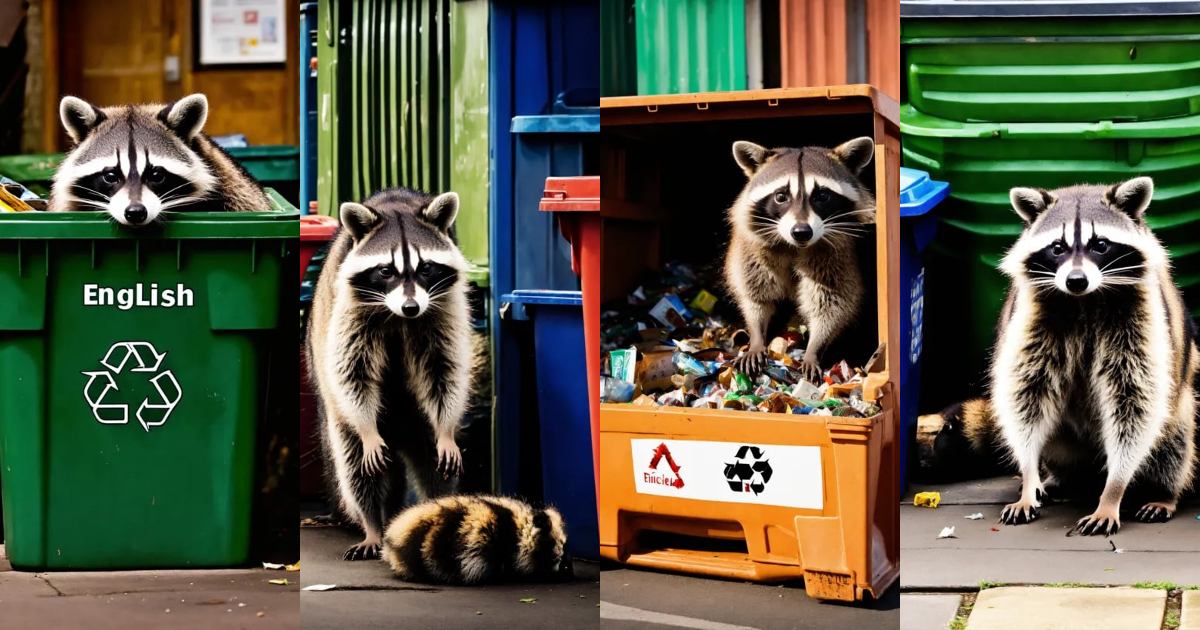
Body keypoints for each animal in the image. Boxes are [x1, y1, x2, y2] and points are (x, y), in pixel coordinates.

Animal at [306, 187, 475, 560]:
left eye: (426, 268)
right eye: (386, 270)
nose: (411, 307)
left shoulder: (444, 308)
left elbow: (445, 371)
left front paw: (446, 427)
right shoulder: (348, 310)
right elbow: (352, 372)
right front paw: (367, 428)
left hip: (418, 424)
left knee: (434, 468)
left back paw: (434, 511)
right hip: (339, 419)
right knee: (355, 466)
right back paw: (372, 523)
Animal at [723, 137, 877, 381]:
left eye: (822, 196)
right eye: (781, 196)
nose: (801, 232)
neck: (794, 246)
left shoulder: (838, 256)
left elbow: (833, 304)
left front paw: (814, 347)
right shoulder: (750, 250)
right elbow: (757, 295)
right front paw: (756, 336)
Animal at [992, 177, 1198, 535]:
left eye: (1100, 244)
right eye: (1057, 248)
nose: (1076, 280)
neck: (1084, 300)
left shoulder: (1140, 320)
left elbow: (1135, 405)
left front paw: (1114, 490)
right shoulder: (1031, 320)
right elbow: (1026, 399)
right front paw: (1029, 476)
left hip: (1180, 405)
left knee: (1175, 438)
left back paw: (1164, 492)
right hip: (1067, 444)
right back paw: (1057, 477)